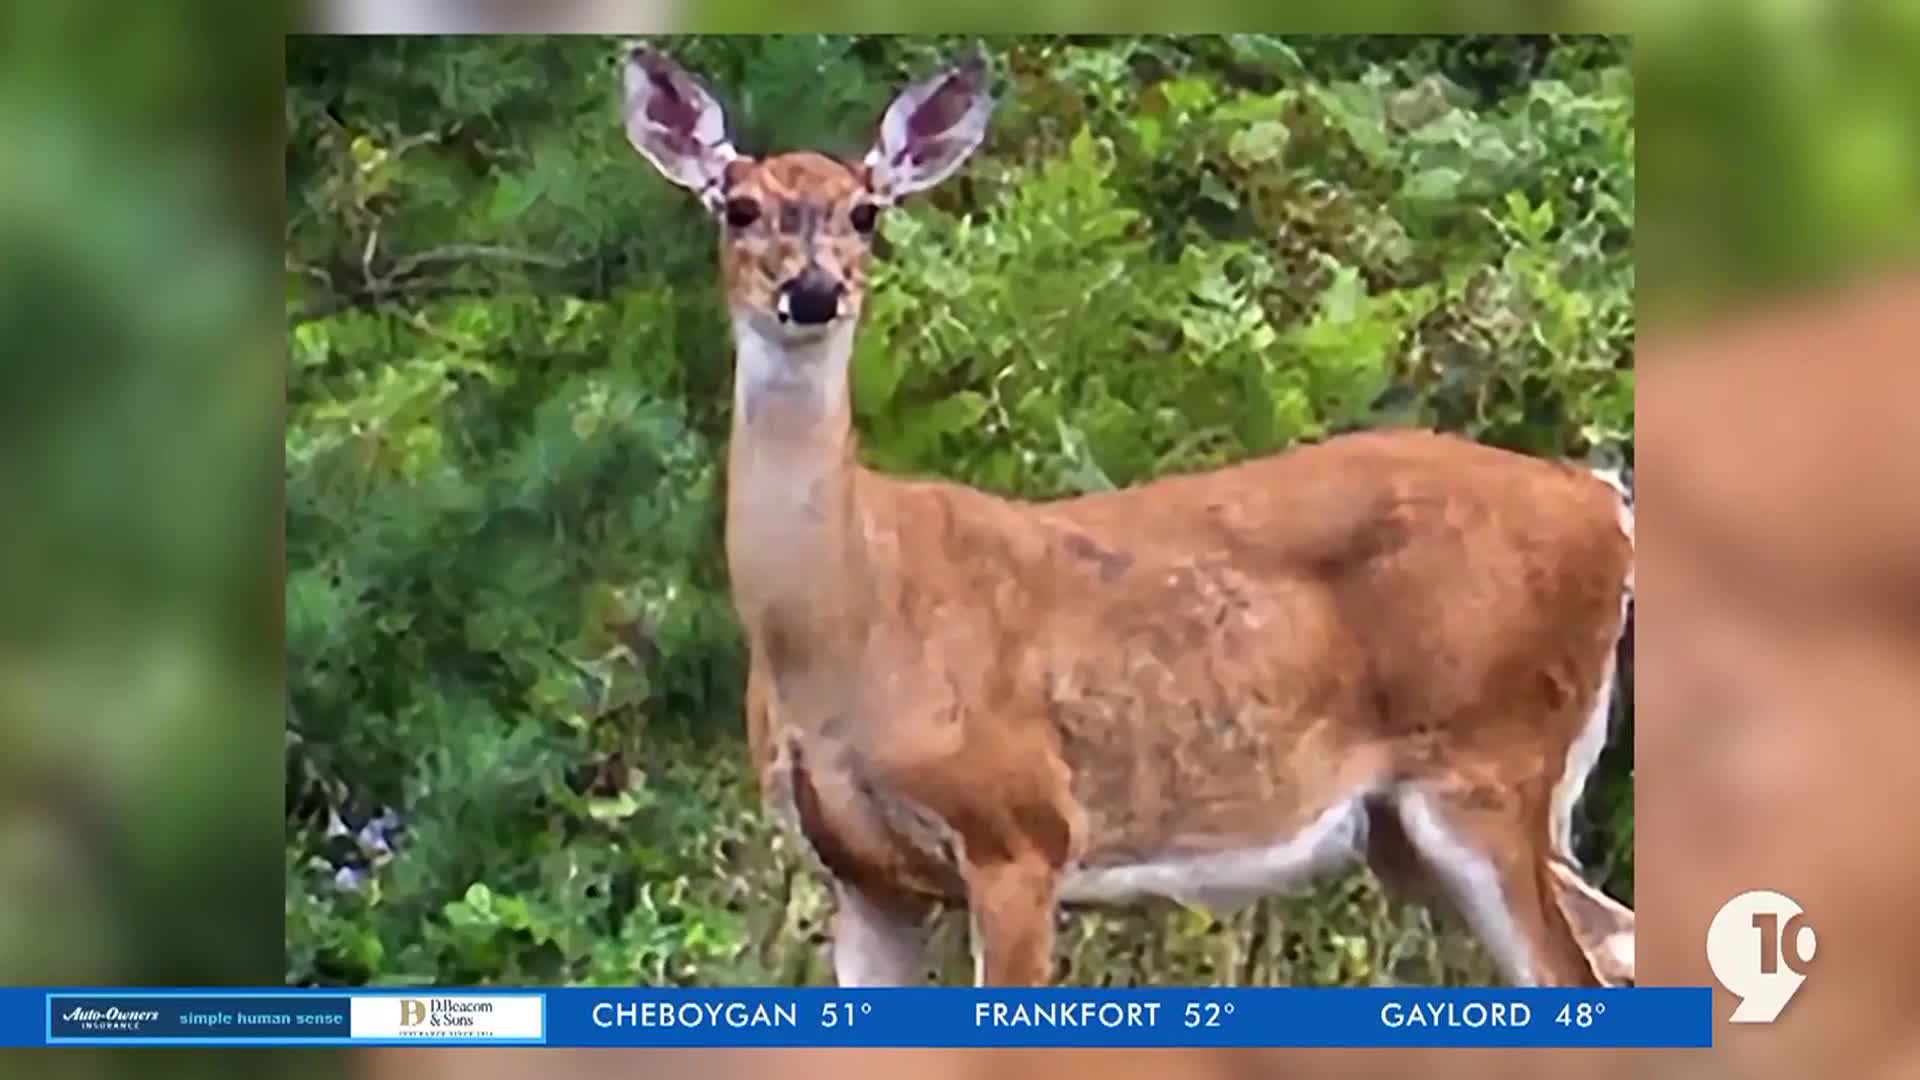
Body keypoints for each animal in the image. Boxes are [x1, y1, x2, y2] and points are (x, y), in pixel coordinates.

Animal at [618, 43, 1638, 989]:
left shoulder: (1022, 827)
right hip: (1412, 826)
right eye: (737, 206)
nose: (814, 292)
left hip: (1493, 759)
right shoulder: (861, 875)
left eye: (867, 211)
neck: (848, 620)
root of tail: (1603, 503)